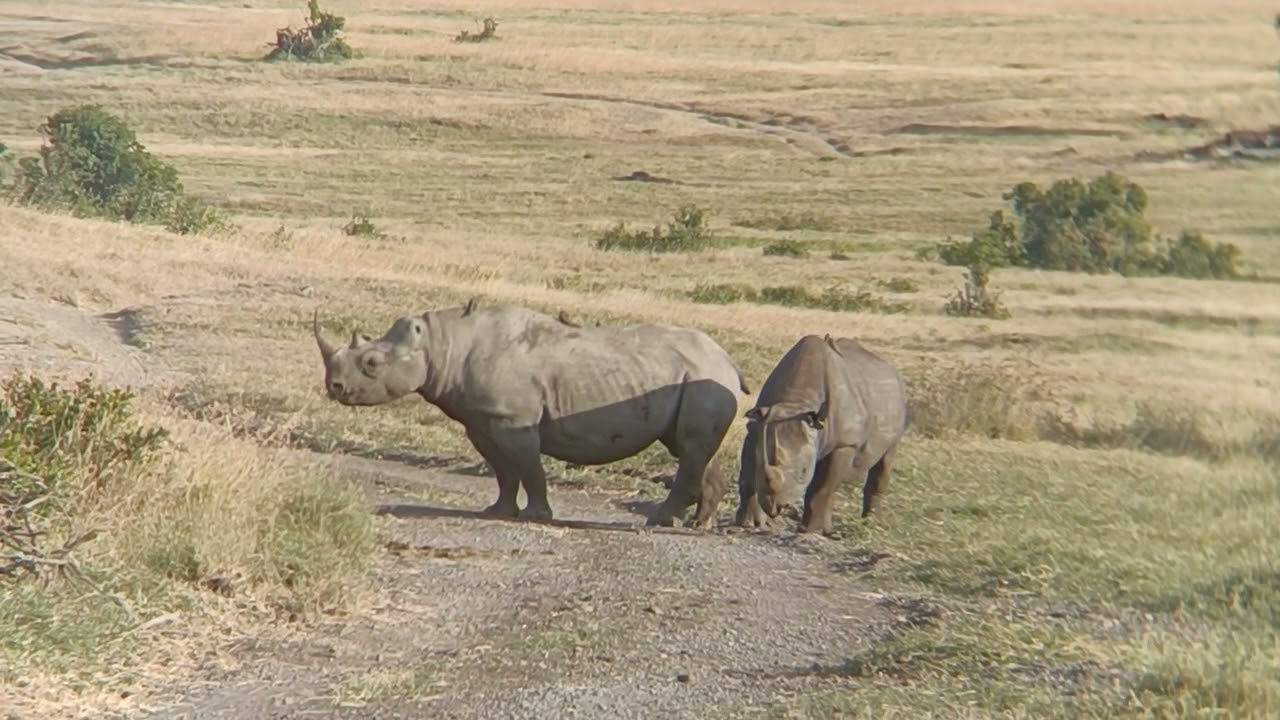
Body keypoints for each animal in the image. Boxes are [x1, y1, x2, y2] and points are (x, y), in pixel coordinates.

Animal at [313, 299, 751, 527]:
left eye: (371, 363)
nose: (334, 388)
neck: (441, 347)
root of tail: (729, 359)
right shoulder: (482, 421)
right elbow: (503, 471)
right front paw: (497, 512)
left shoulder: (513, 420)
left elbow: (529, 468)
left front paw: (537, 517)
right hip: (691, 376)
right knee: (690, 446)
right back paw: (698, 524)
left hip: (704, 376)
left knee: (690, 447)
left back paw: (659, 521)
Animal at [734, 334, 908, 535]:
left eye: (804, 472)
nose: (776, 507)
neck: (794, 403)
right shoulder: (756, 428)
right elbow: (747, 478)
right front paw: (747, 523)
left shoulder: (845, 443)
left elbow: (820, 489)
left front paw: (807, 531)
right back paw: (828, 529)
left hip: (897, 407)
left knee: (886, 458)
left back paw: (870, 525)